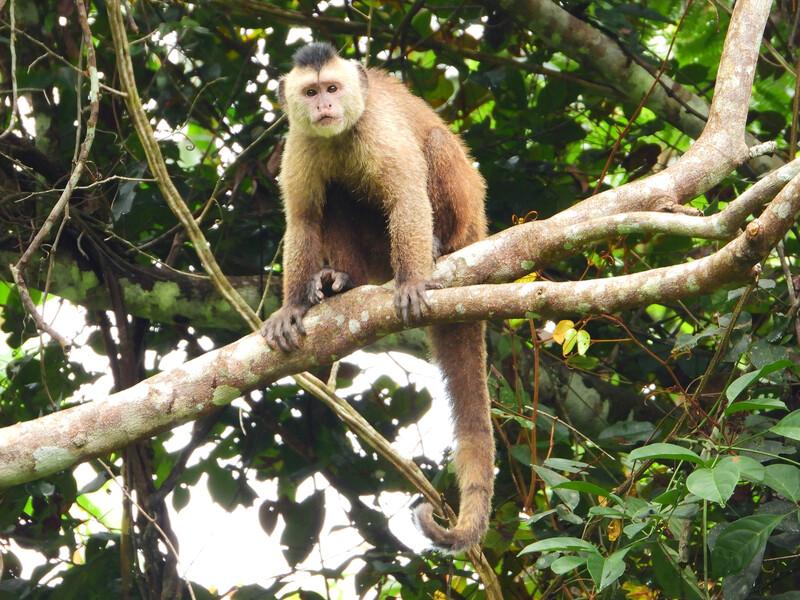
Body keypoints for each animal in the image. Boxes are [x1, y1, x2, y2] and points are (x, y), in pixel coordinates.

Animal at [261, 42, 493, 553]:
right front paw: (292, 307)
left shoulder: (377, 131)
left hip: (469, 216)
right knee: (336, 195)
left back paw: (436, 247)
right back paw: (342, 280)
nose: (325, 106)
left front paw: (411, 281)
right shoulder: (301, 143)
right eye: (311, 93)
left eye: (333, 88)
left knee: (435, 146)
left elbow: (406, 197)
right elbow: (303, 220)